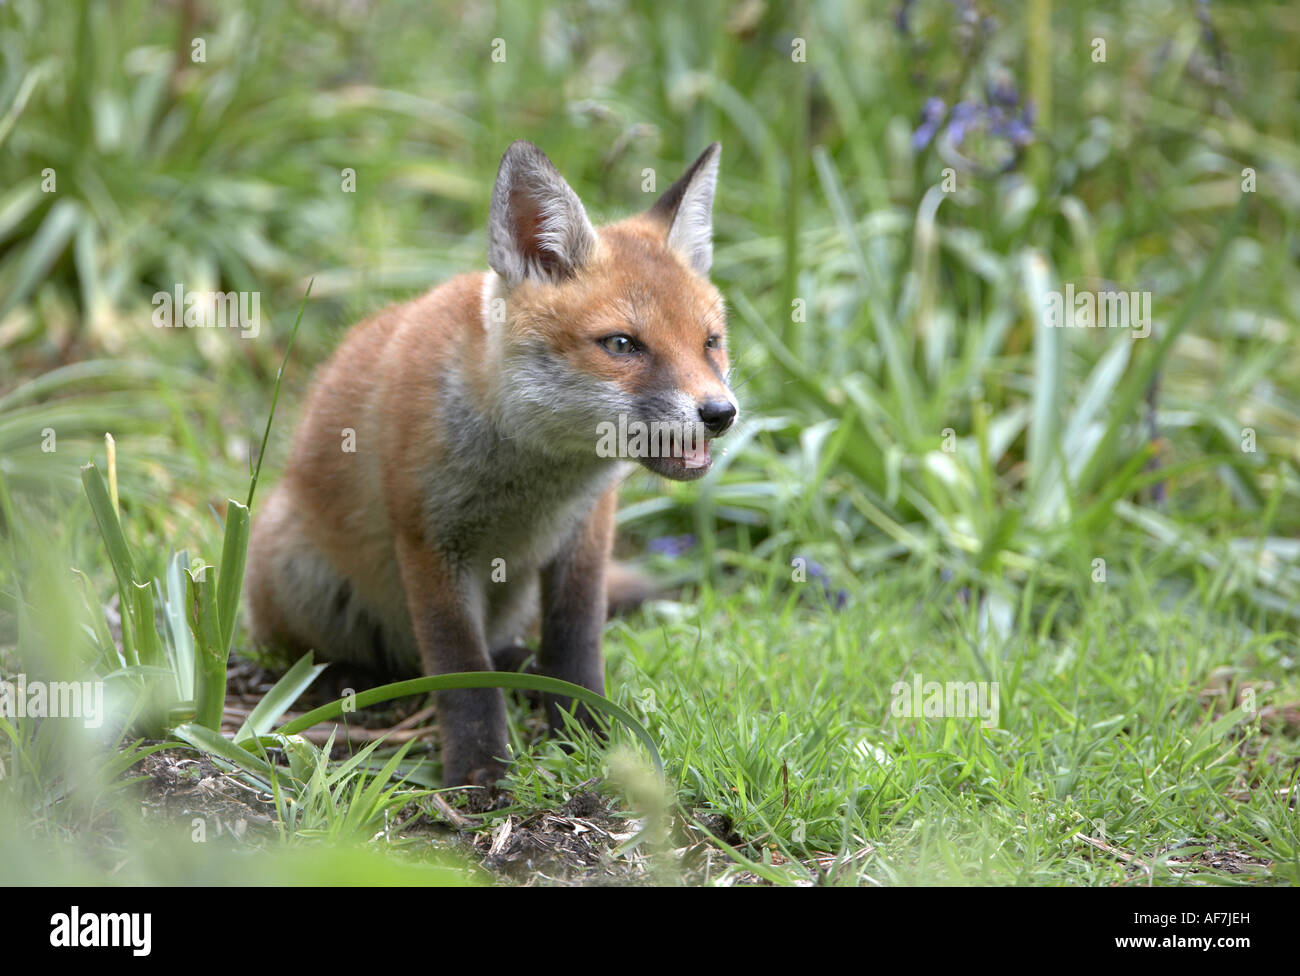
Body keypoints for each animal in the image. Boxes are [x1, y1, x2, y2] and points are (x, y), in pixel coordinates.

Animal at [245, 141, 738, 789]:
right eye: (622, 345)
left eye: (710, 342)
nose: (721, 413)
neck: (535, 477)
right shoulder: (429, 542)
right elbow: (463, 671)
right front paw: (479, 771)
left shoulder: (586, 533)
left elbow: (576, 648)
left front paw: (591, 738)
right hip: (294, 566)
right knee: (309, 648)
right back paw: (341, 679)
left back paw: (521, 666)